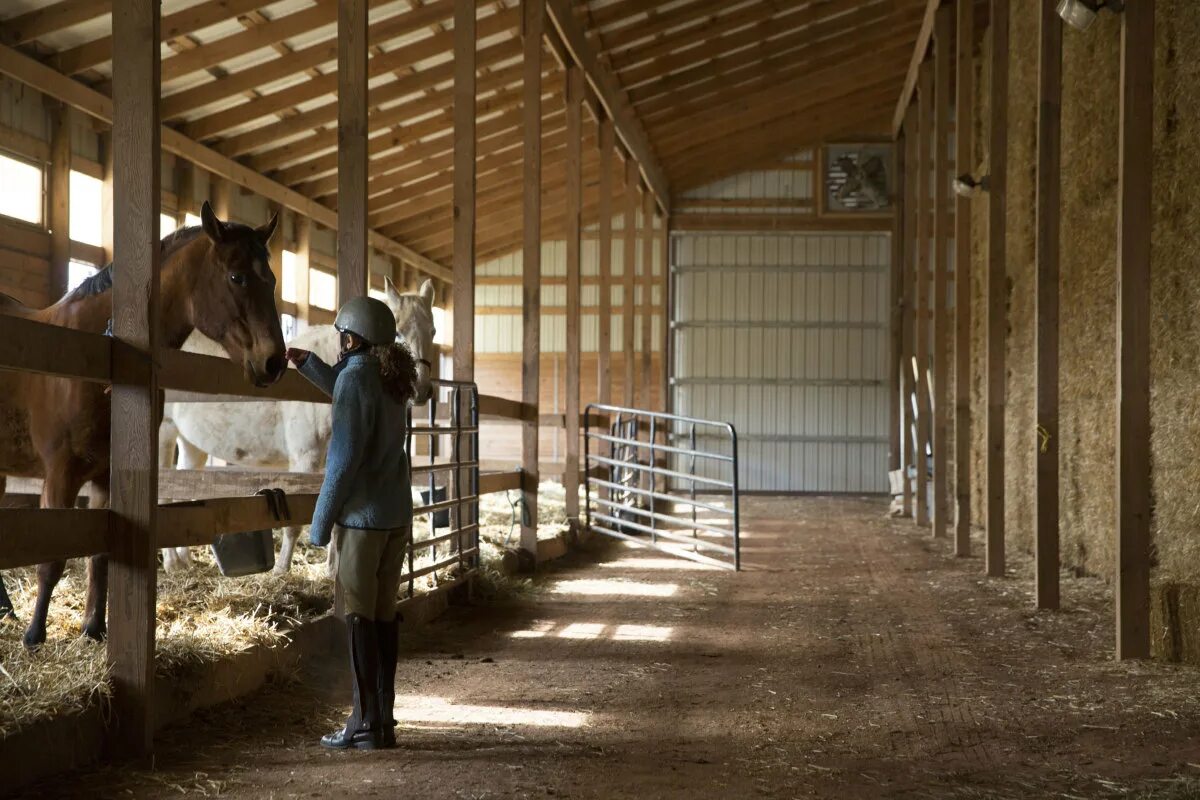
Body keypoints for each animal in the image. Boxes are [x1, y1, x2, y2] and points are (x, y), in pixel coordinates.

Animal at [0, 201, 285, 652]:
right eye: (237, 276)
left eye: (271, 279)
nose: (274, 361)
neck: (101, 354)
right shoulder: (60, 475)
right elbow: (52, 559)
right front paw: (34, 636)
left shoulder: (105, 478)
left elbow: (100, 556)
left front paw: (94, 629)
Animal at [162, 278, 436, 573]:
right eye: (399, 332)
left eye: (432, 331)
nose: (421, 389)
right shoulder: (305, 460)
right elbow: (293, 525)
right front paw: (282, 570)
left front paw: (331, 569)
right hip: (166, 433)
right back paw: (172, 563)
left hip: (191, 443)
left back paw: (185, 559)